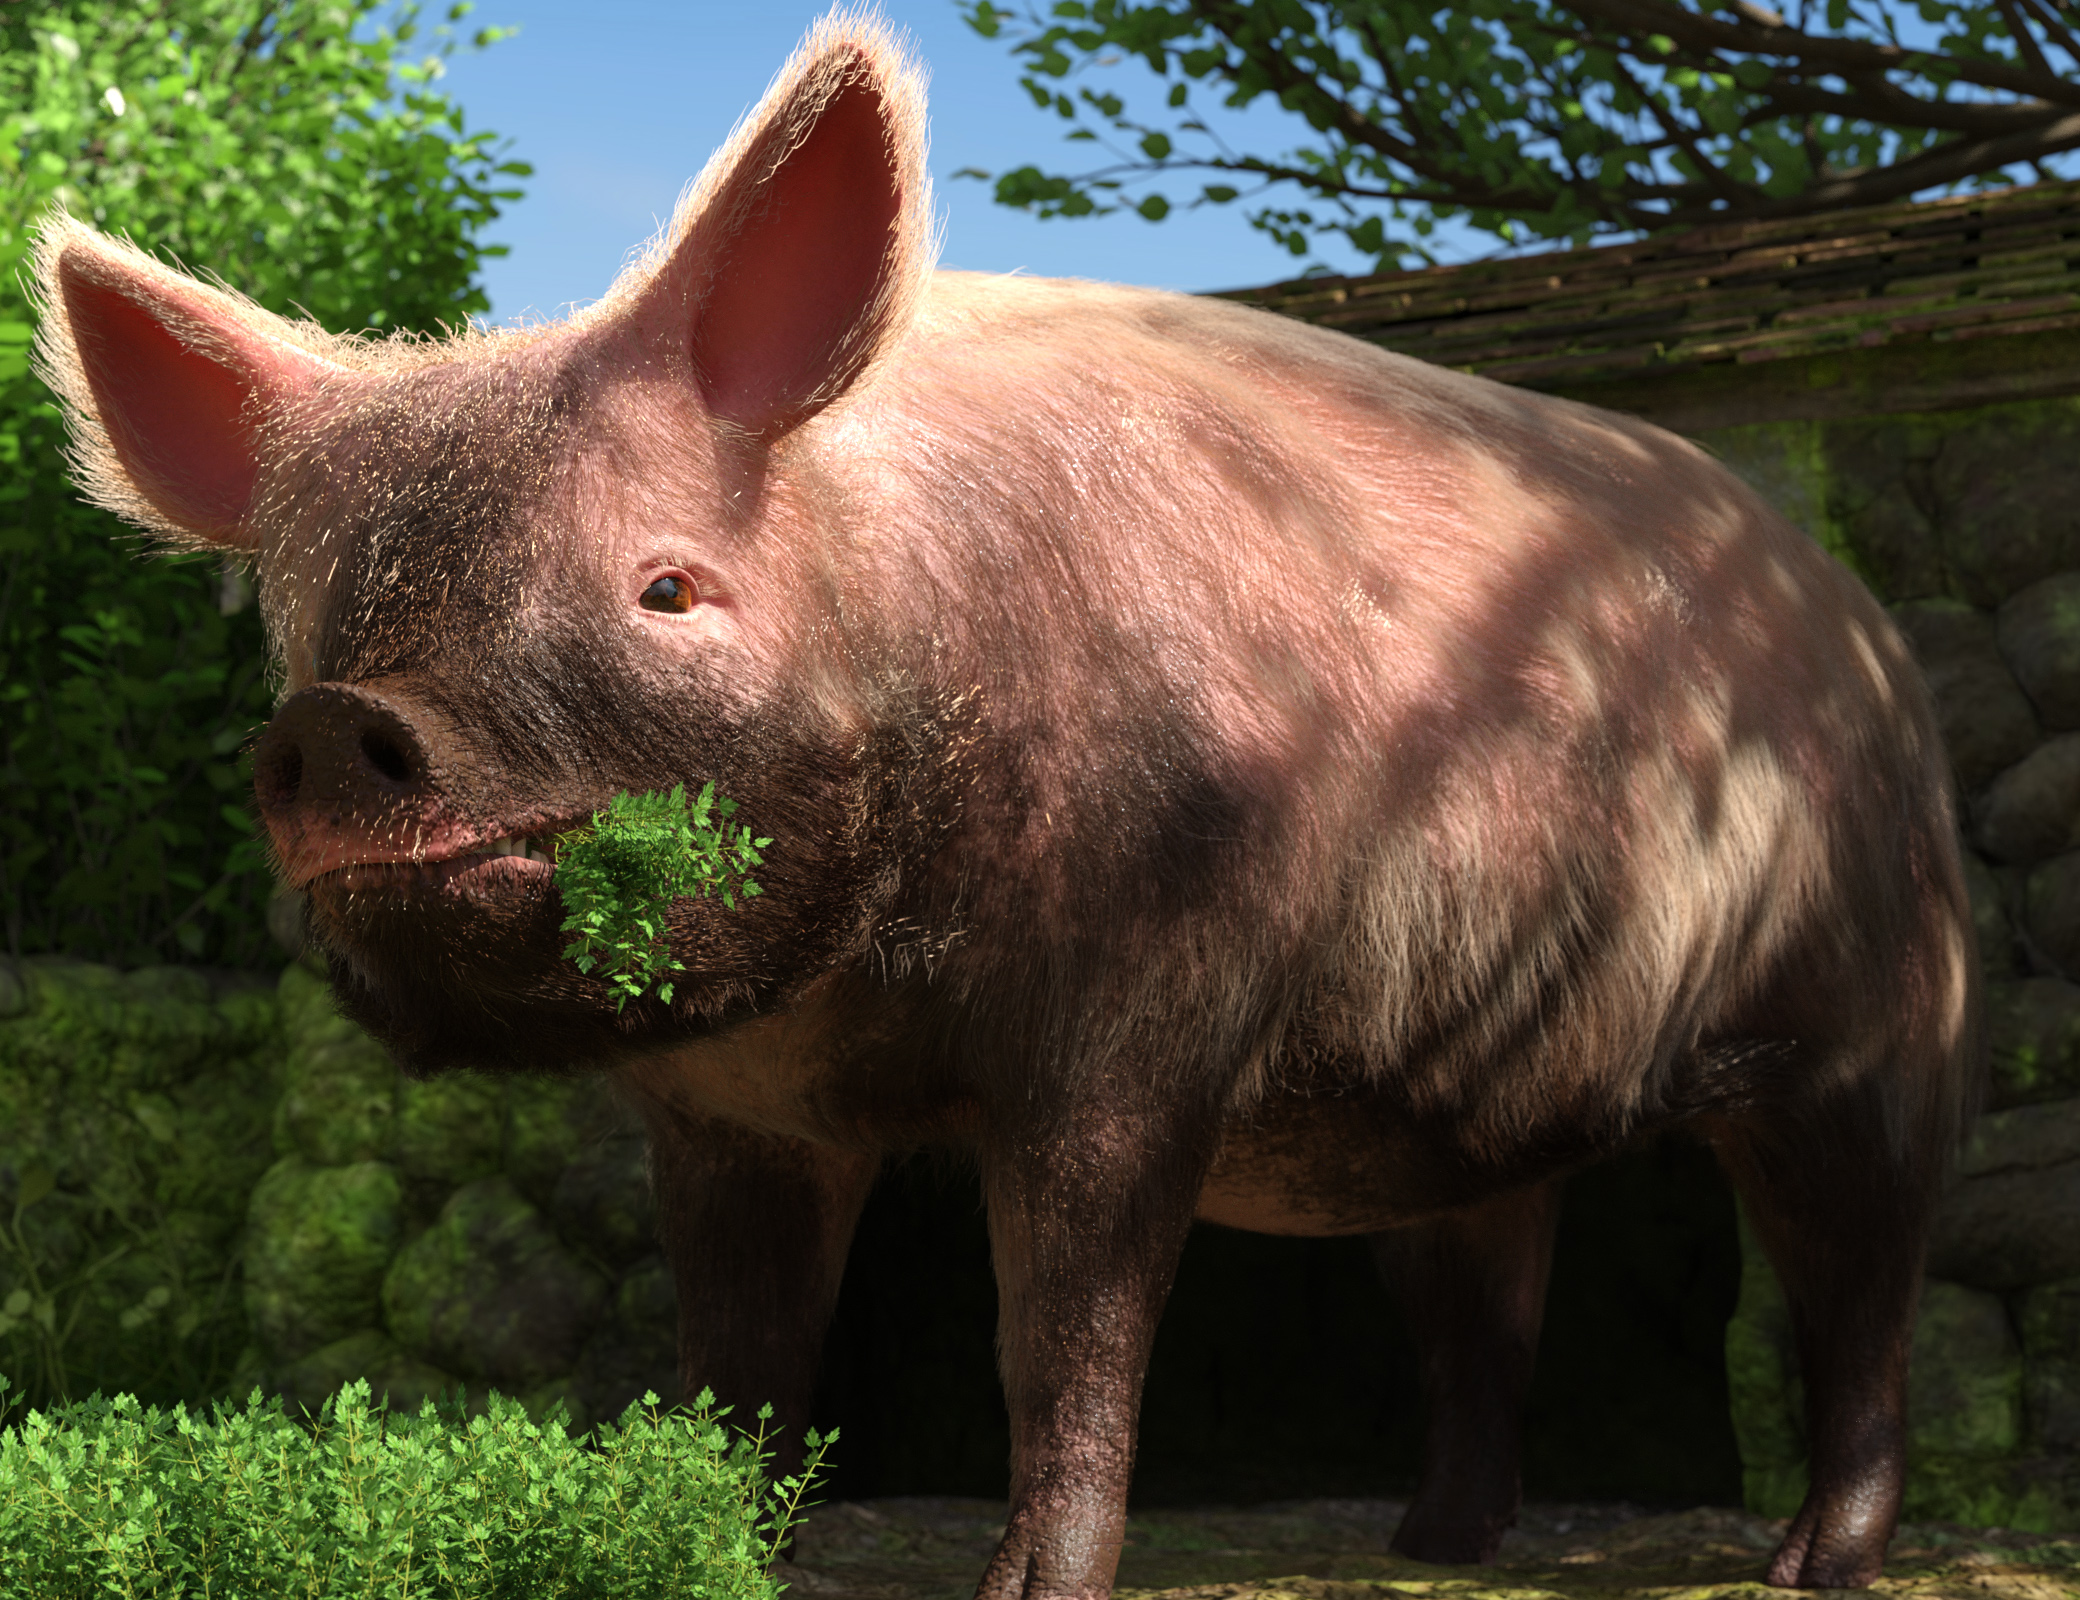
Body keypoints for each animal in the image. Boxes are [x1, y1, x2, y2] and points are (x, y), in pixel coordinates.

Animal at [34, 12, 1977, 1595]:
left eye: (667, 588)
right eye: (312, 621)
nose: (338, 724)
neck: (850, 1005)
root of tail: (1865, 630)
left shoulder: (1139, 1017)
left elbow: (1062, 1323)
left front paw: (1032, 1586)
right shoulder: (724, 1112)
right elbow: (743, 1352)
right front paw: (714, 1542)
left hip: (1871, 1018)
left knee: (1864, 1287)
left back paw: (1814, 1566)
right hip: (1457, 1090)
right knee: (1486, 1279)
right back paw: (1433, 1547)